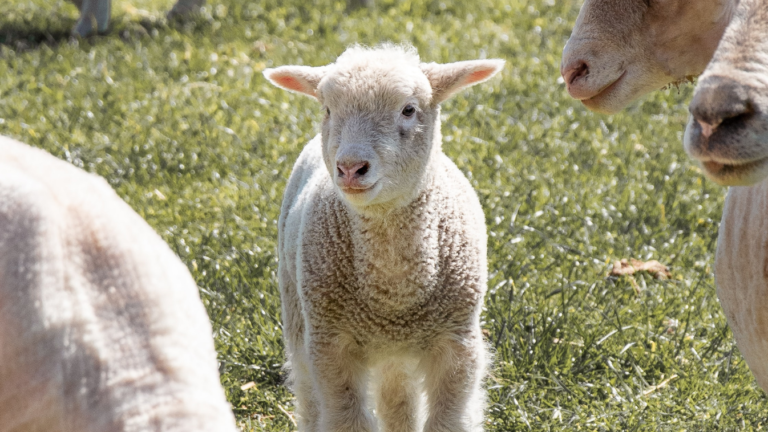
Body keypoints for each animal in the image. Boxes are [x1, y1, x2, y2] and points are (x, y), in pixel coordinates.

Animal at [263, 44, 504, 432]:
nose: (350, 167)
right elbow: (348, 419)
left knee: (397, 396)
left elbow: (445, 419)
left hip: (397, 353)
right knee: (309, 395)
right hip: (297, 311)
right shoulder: (330, 344)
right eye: (328, 109)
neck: (392, 295)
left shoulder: (457, 343)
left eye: (408, 109)